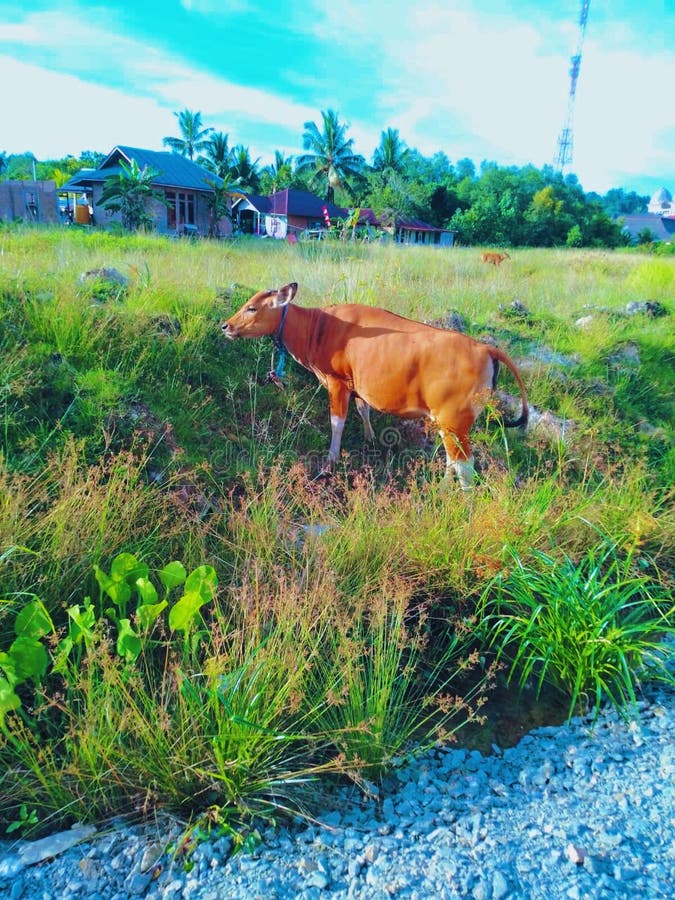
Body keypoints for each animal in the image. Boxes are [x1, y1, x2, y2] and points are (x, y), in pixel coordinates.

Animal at [221, 282, 528, 490]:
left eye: (251, 307)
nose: (225, 326)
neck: (319, 327)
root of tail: (485, 348)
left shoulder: (337, 383)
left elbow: (337, 423)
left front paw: (330, 461)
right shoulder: (358, 385)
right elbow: (363, 410)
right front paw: (369, 437)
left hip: (455, 421)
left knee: (465, 465)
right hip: (446, 422)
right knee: (452, 459)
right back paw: (441, 488)